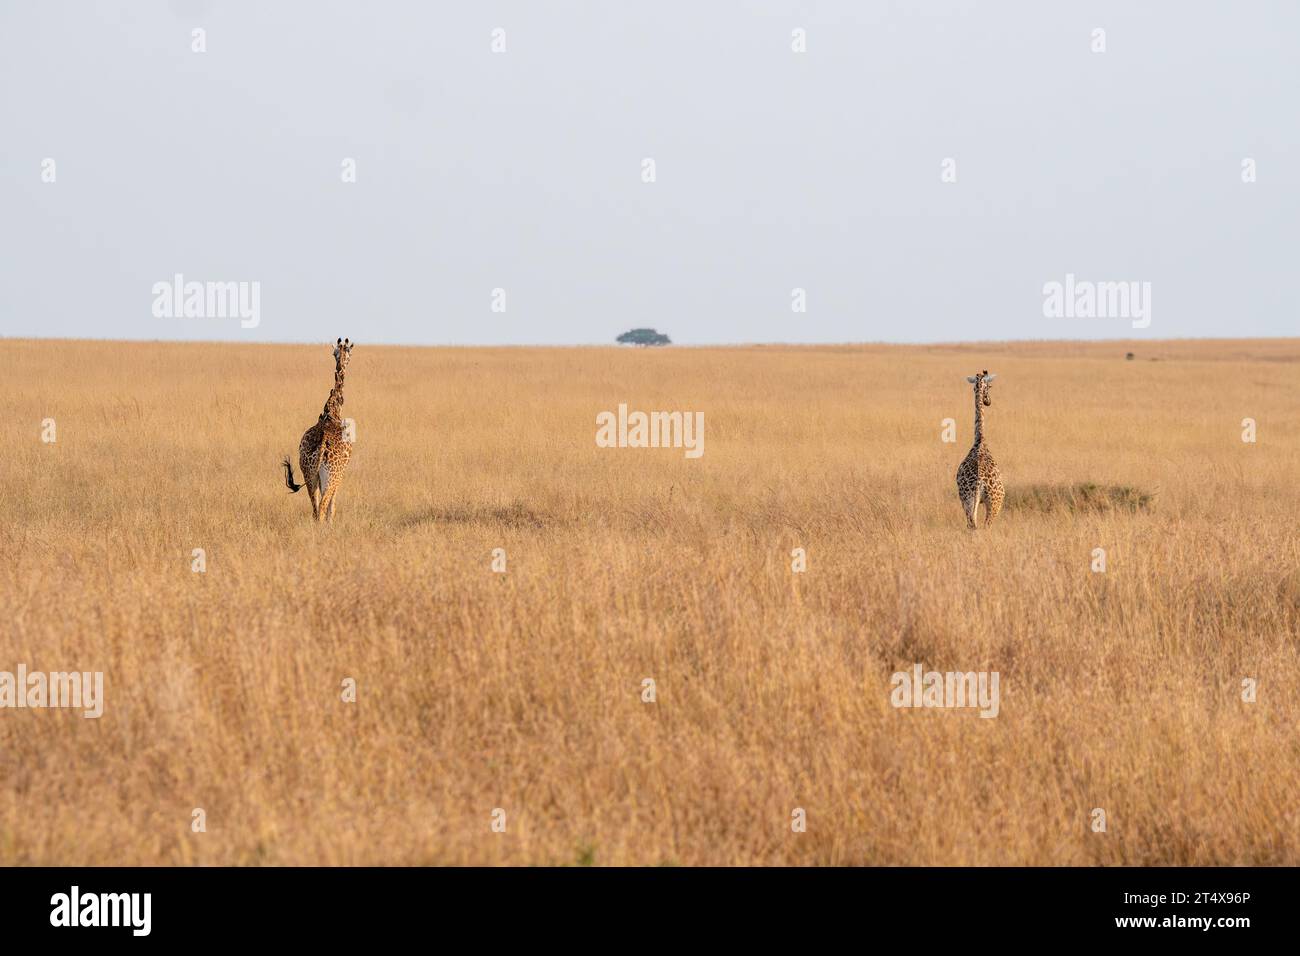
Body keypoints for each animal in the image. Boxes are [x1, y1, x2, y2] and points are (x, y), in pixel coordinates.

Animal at [282, 338, 354, 523]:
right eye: (350, 353)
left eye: (336, 352)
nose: (344, 361)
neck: (332, 410)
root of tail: (321, 448)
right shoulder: (341, 476)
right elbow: (332, 507)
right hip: (331, 477)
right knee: (321, 508)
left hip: (309, 474)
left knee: (314, 509)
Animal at [955, 370, 1004, 529]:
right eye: (989, 386)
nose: (988, 401)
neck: (980, 440)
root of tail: (979, 483)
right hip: (994, 502)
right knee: (986, 525)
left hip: (967, 500)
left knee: (972, 525)